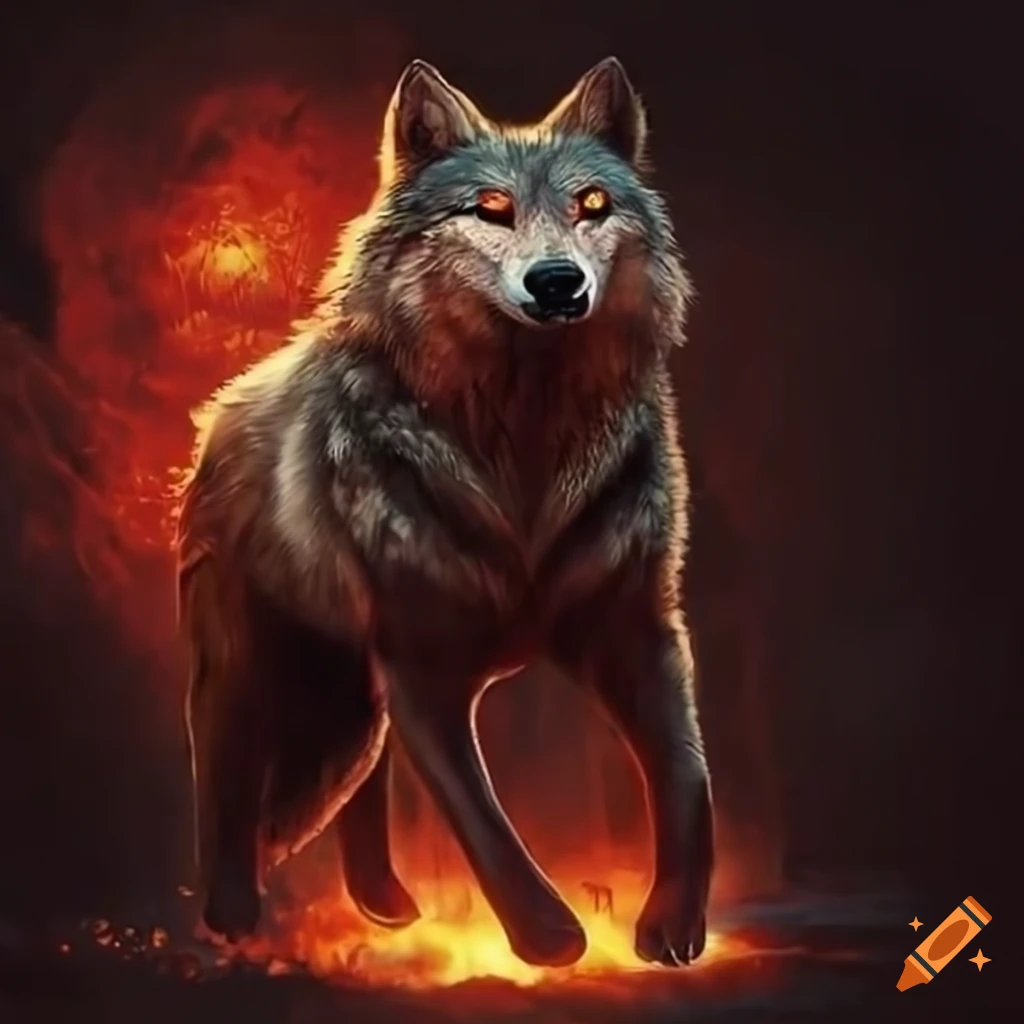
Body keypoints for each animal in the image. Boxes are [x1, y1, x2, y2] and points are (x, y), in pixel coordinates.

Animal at [176, 56, 713, 969]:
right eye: (490, 209)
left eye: (591, 204)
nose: (558, 281)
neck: (525, 445)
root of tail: (220, 407)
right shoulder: (424, 670)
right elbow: (480, 815)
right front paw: (549, 940)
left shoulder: (637, 632)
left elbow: (686, 775)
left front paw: (673, 927)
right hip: (254, 676)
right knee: (225, 779)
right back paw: (231, 914)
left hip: (361, 701)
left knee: (362, 783)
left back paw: (382, 902)